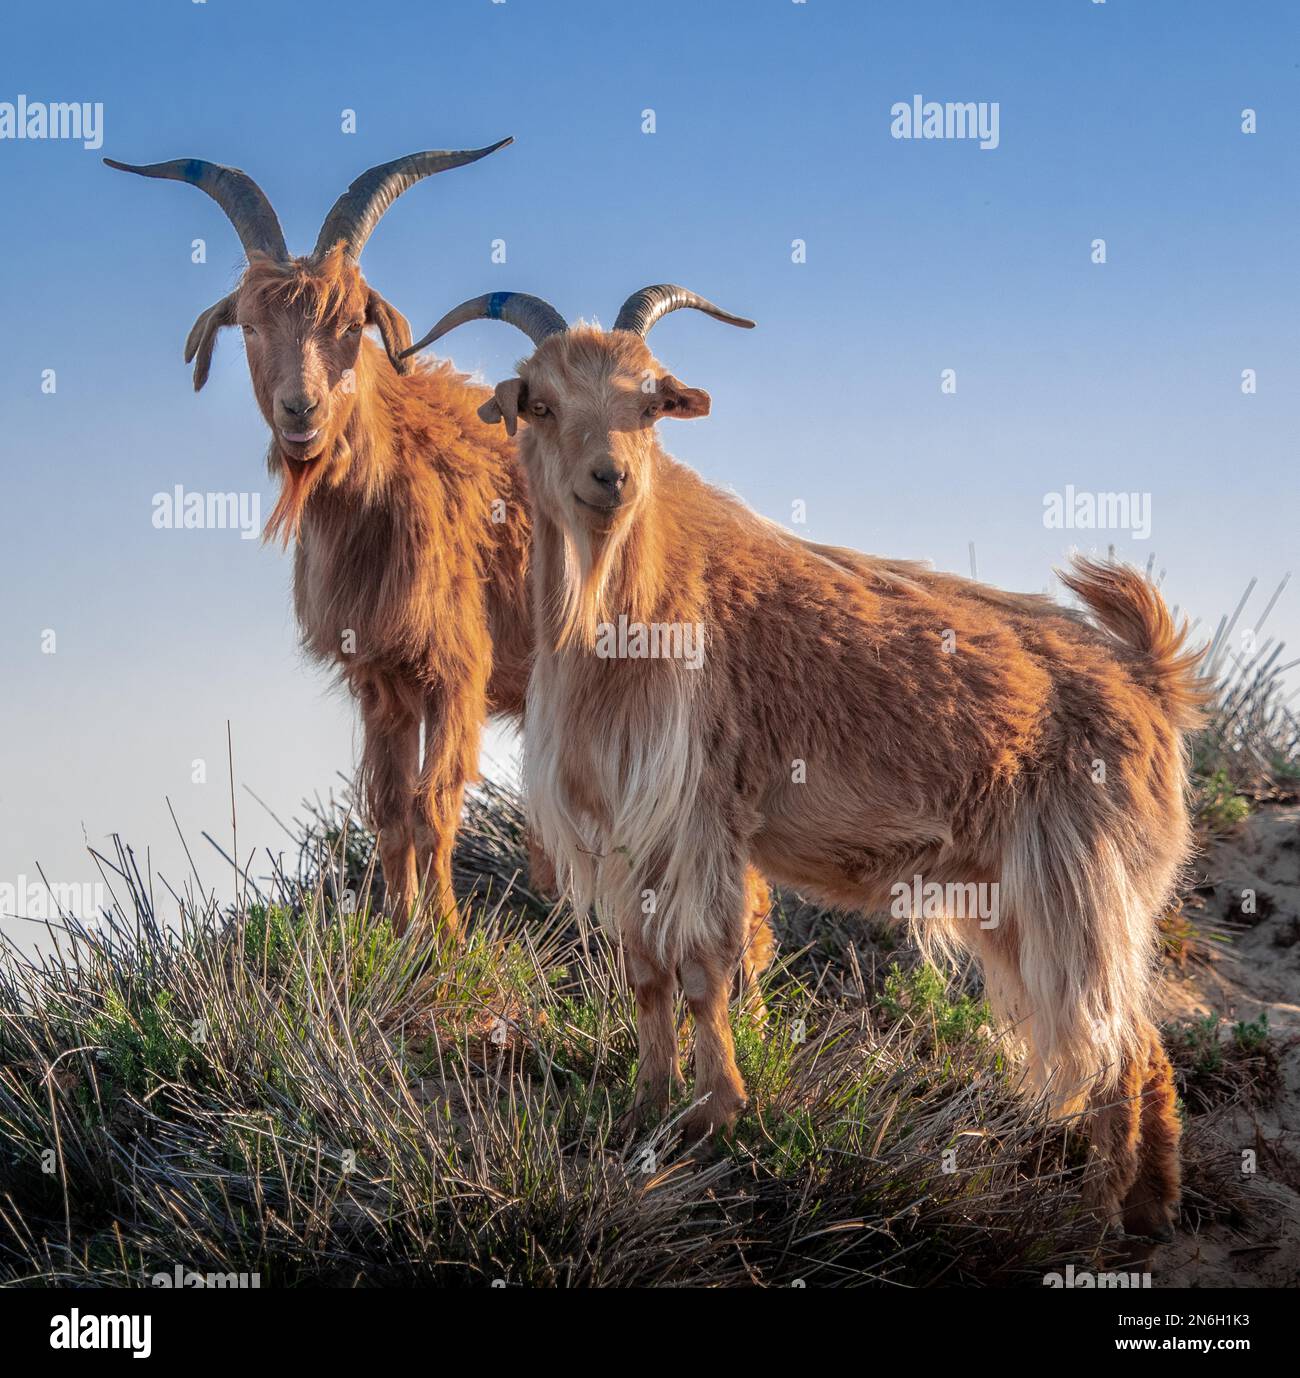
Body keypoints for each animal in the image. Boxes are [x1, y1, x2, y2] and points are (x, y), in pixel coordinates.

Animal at [411, 284, 1207, 1238]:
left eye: (651, 402)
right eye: (538, 401)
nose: (612, 479)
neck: (625, 613)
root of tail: (1150, 678)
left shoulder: (701, 818)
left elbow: (704, 968)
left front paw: (716, 1111)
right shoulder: (629, 831)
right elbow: (645, 973)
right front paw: (645, 1108)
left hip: (1079, 886)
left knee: (1112, 1043)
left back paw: (1094, 1219)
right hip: (1025, 902)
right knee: (1141, 1042)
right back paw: (1151, 1208)